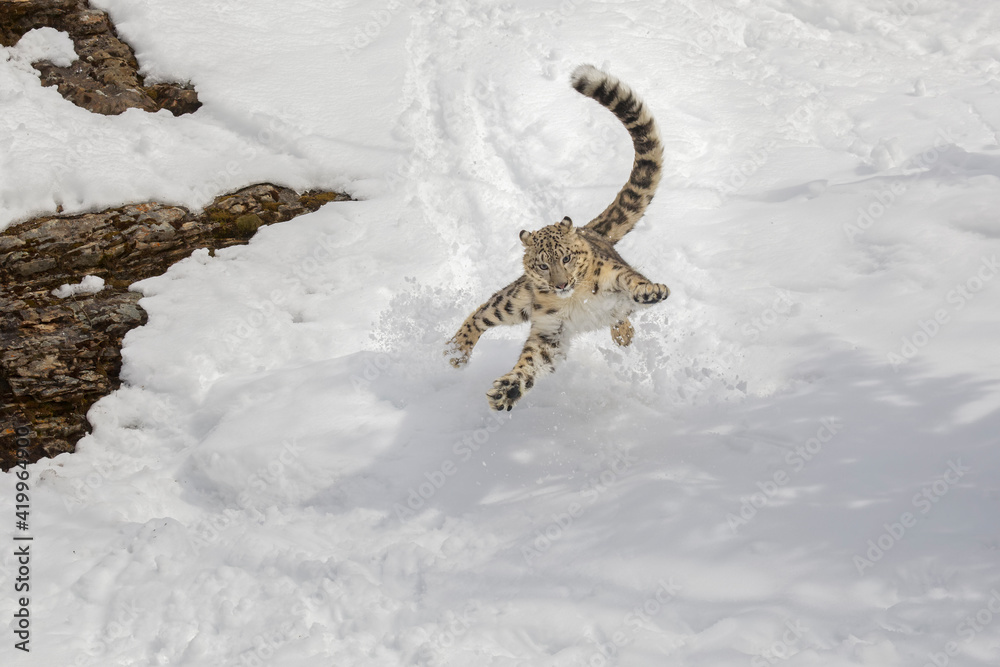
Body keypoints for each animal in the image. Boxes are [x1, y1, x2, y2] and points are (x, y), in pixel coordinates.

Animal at [446, 64, 669, 411]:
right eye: (542, 265)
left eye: (567, 257)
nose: (561, 284)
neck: (577, 301)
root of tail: (589, 229)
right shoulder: (550, 333)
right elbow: (531, 363)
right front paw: (506, 391)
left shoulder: (615, 278)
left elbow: (633, 283)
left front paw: (652, 293)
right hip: (513, 301)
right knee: (482, 312)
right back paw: (456, 351)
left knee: (622, 313)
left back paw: (624, 333)